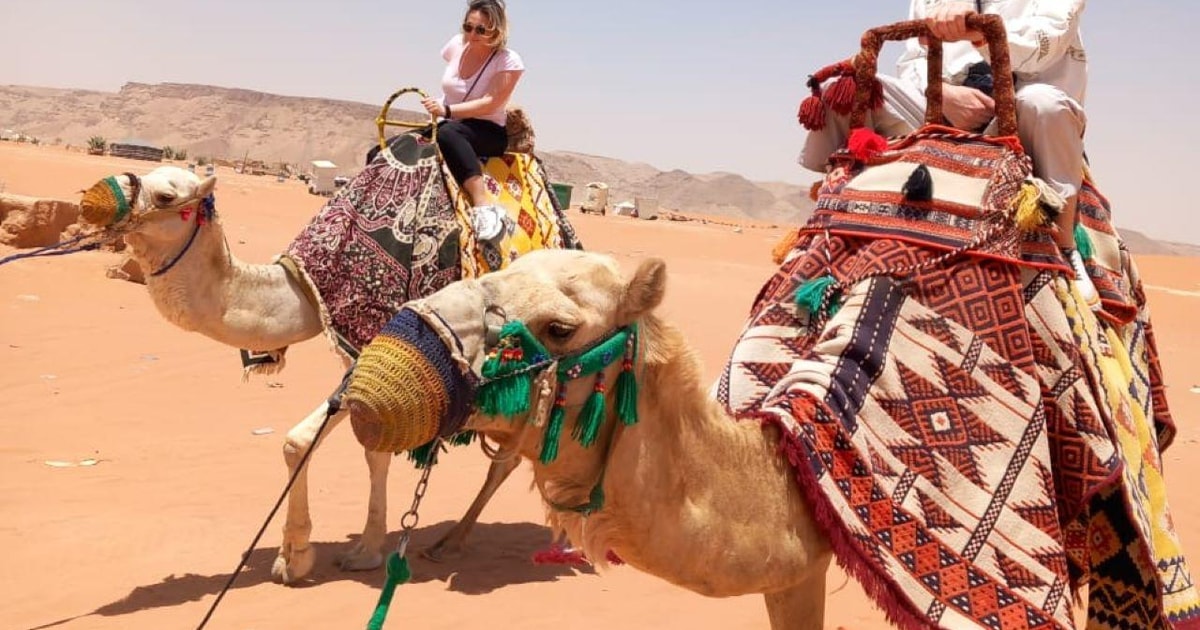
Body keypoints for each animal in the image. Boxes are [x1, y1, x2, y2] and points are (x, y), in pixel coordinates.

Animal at [76, 165, 529, 584]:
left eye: (166, 196)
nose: (93, 198)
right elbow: (372, 451)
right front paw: (364, 549)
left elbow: (299, 442)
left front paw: (296, 557)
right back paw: (451, 540)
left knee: (510, 455)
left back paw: (454, 543)